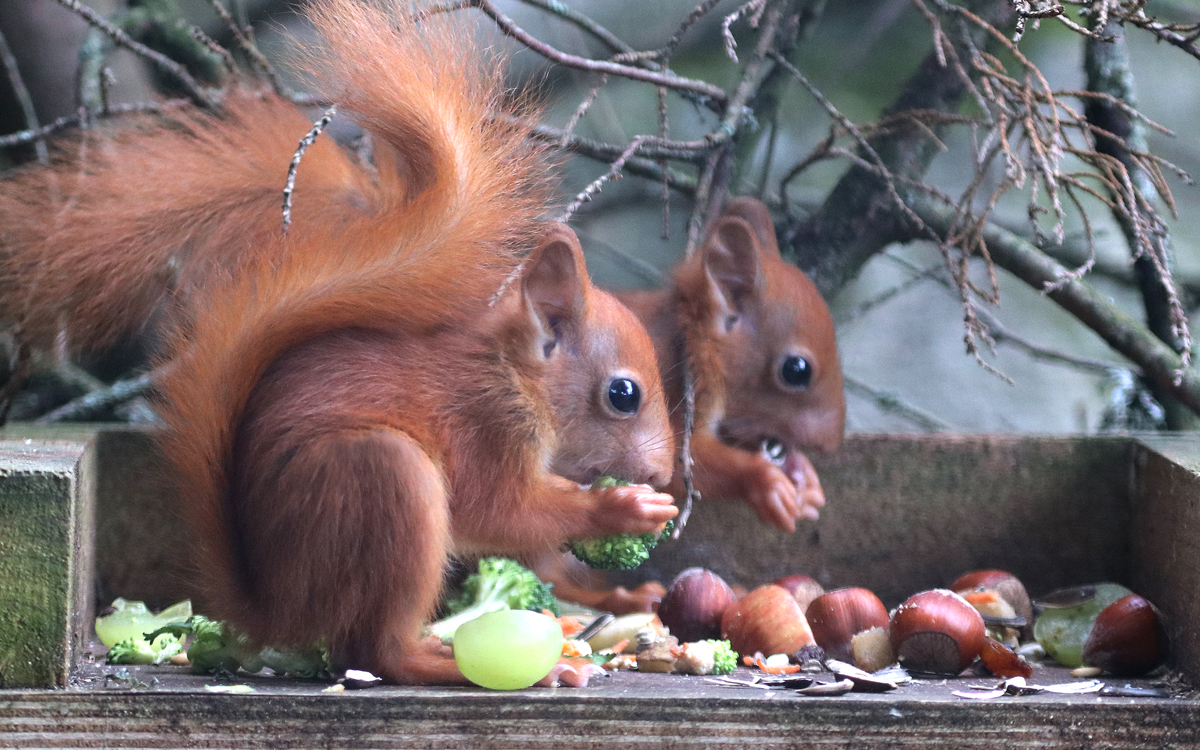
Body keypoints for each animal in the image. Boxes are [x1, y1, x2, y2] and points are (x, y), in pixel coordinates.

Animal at [0, 0, 678, 684]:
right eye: (623, 395)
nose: (664, 473)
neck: (512, 375)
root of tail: (277, 606)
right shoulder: (484, 427)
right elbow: (499, 513)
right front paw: (620, 512)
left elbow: (535, 549)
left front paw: (622, 583)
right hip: (383, 481)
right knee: (375, 650)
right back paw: (460, 665)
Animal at [535, 197, 845, 613]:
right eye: (796, 370)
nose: (831, 441)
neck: (691, 336)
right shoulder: (674, 402)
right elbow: (685, 469)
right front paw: (765, 480)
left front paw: (803, 478)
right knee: (548, 576)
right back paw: (623, 597)